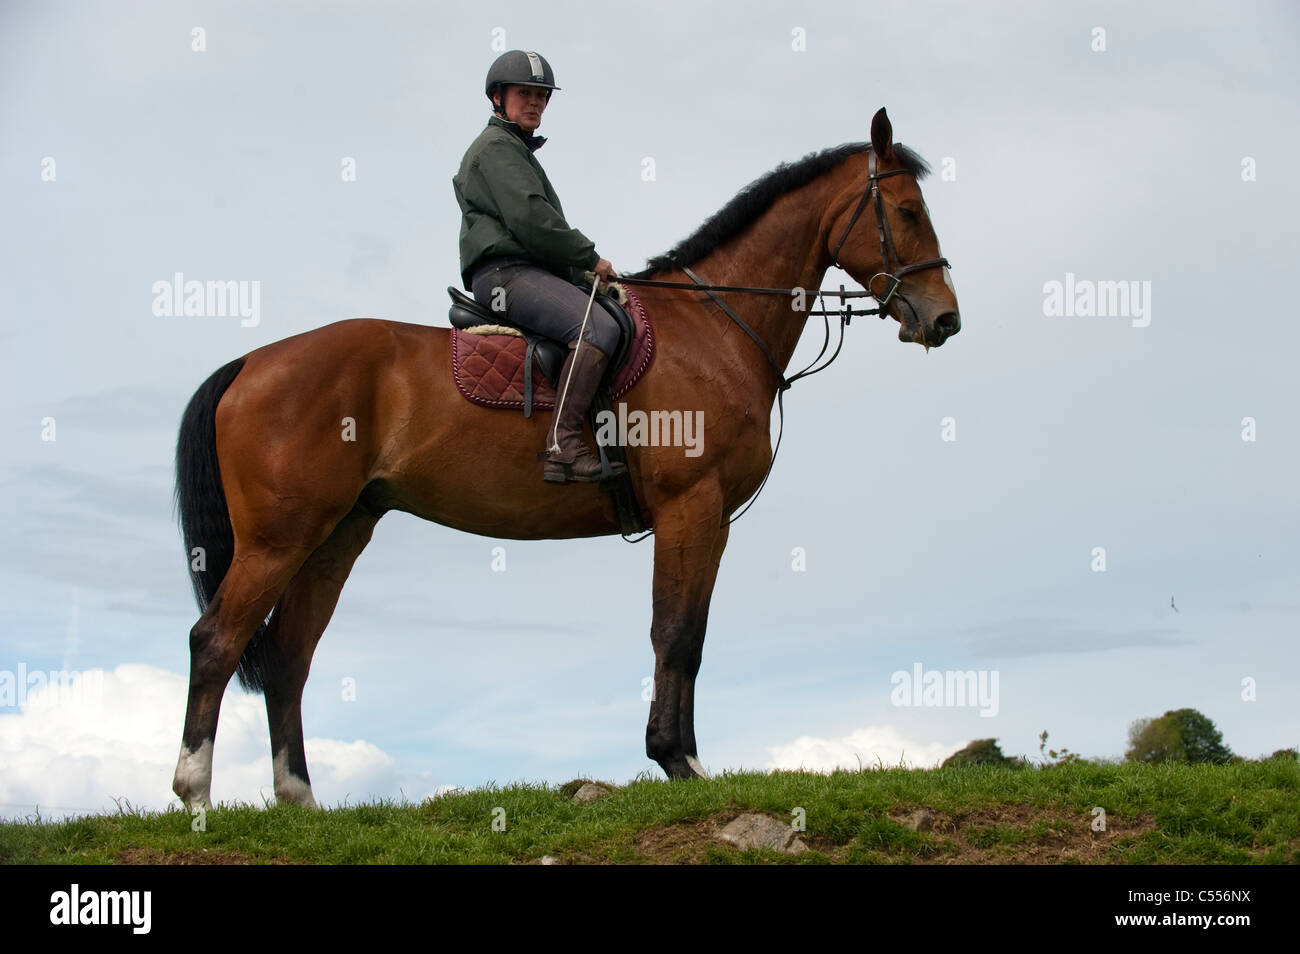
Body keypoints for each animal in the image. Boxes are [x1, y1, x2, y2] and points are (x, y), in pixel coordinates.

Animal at [171, 107, 960, 810]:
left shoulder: (708, 520)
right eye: (907, 209)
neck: (714, 326)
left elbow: (690, 634)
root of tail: (252, 362)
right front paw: (677, 761)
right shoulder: (691, 506)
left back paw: (298, 800)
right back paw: (196, 794)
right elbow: (676, 633)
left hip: (336, 534)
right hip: (279, 539)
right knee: (216, 641)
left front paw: (679, 757)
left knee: (288, 657)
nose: (945, 317)